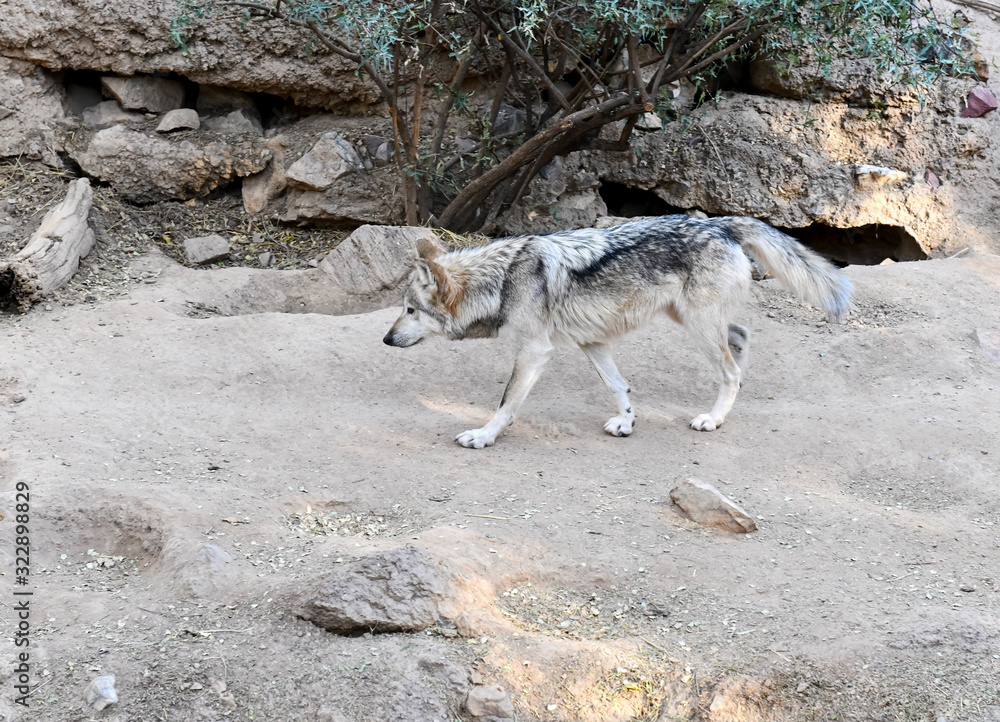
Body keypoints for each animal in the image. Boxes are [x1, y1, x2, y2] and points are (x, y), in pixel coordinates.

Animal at [383, 215, 851, 449]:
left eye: (410, 310)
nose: (386, 340)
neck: (503, 278)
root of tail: (723, 222)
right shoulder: (592, 341)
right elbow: (618, 386)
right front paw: (627, 423)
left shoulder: (534, 351)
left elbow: (506, 404)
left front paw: (482, 436)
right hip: (689, 318)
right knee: (741, 337)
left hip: (696, 326)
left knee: (730, 368)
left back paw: (714, 418)